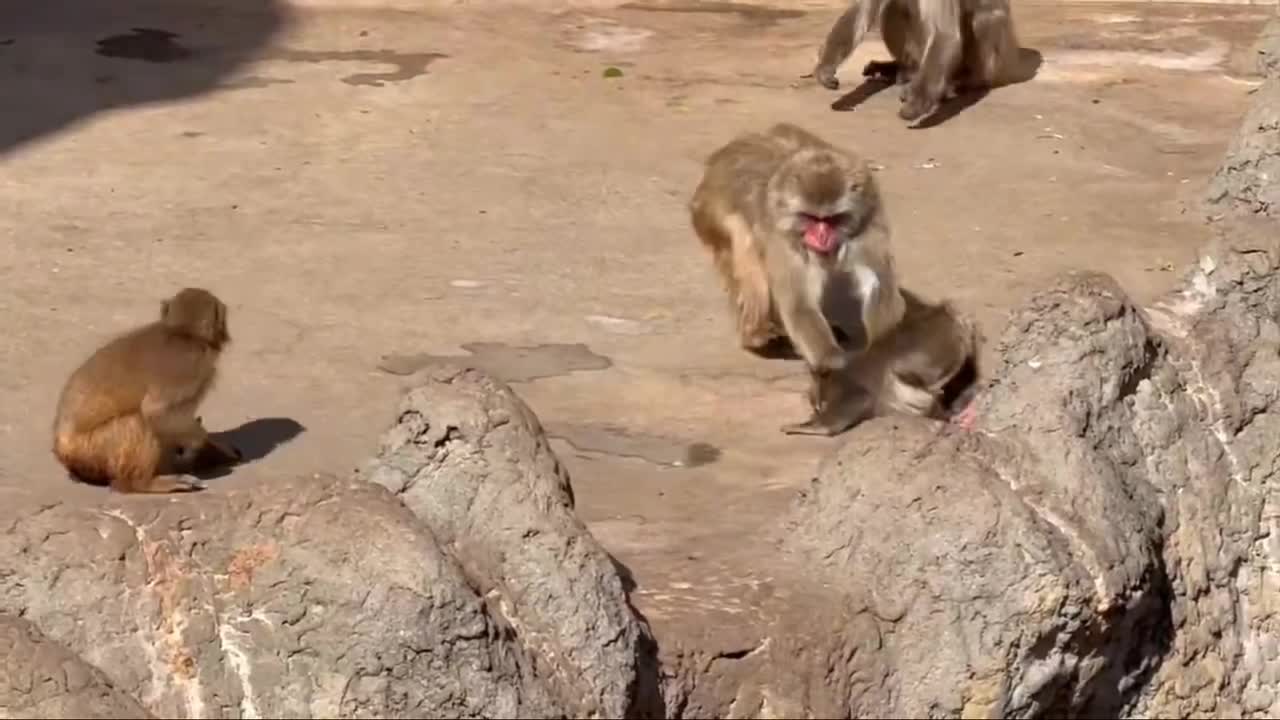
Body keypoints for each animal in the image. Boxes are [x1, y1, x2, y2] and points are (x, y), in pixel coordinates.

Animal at [51, 288, 242, 493]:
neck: (182, 333)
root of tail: (62, 451)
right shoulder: (188, 366)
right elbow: (156, 412)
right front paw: (200, 440)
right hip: (92, 450)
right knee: (138, 422)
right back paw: (142, 482)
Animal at [689, 123, 907, 384]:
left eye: (832, 220)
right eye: (811, 218)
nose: (821, 236)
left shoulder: (869, 221)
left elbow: (881, 287)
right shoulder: (784, 237)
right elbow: (799, 304)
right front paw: (834, 364)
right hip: (711, 211)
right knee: (749, 253)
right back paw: (757, 338)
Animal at [812, 0, 1024, 123]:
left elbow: (946, 33)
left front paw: (916, 105)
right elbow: (861, 10)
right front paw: (825, 68)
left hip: (997, 59)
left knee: (983, 18)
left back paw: (966, 81)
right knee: (894, 7)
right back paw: (903, 70)